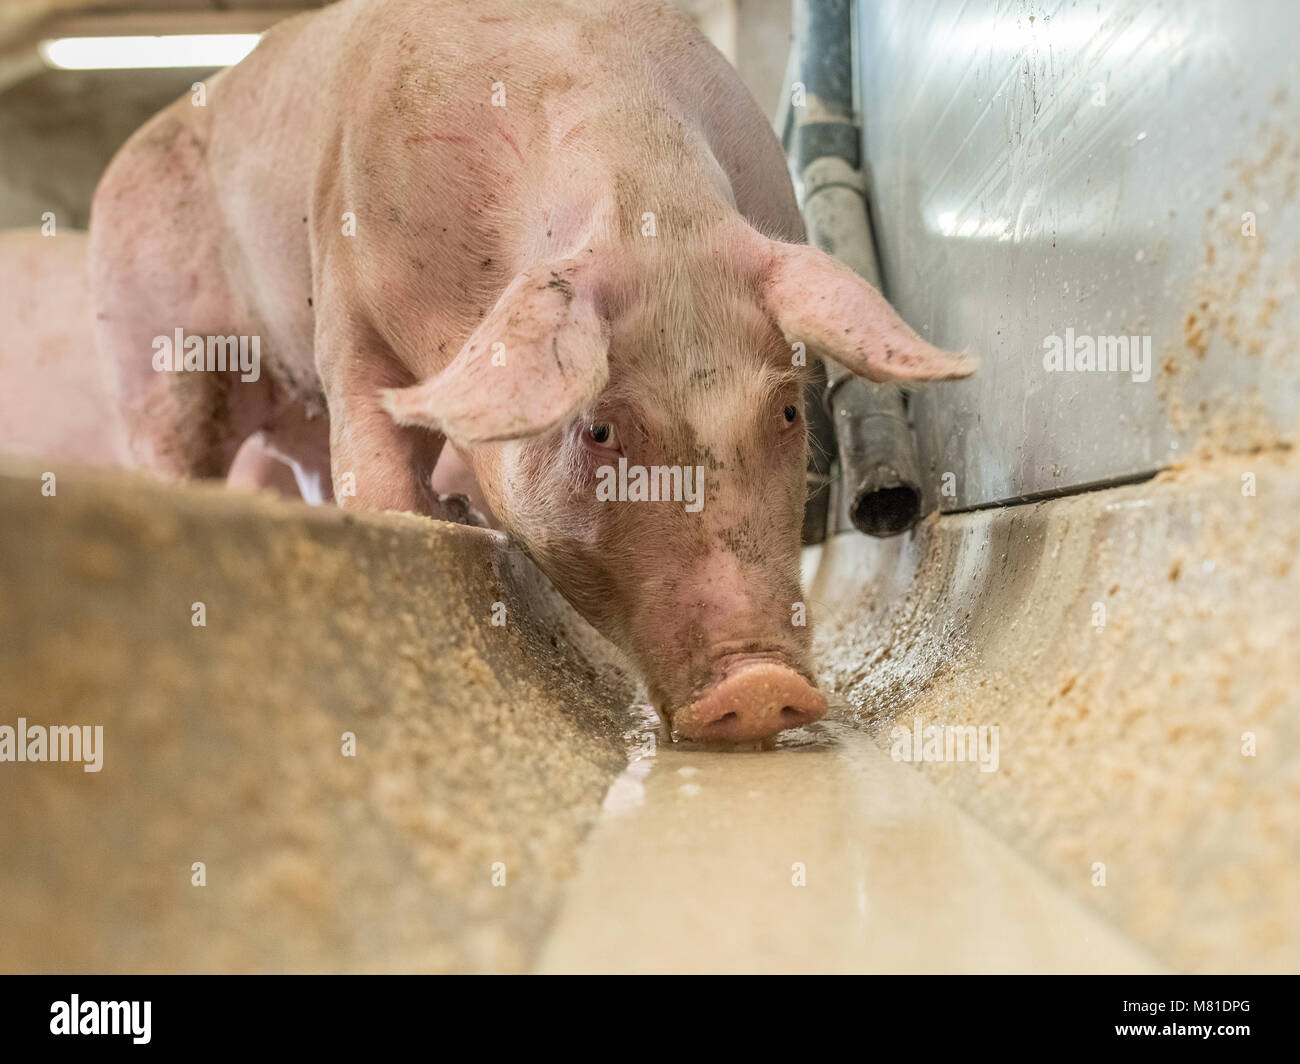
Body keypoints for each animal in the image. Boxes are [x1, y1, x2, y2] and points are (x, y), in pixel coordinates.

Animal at [88, 0, 974, 740]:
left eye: (788, 412)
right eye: (600, 429)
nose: (758, 685)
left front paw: (448, 513)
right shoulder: (346, 305)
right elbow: (373, 443)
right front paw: (422, 521)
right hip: (151, 350)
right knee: (189, 442)